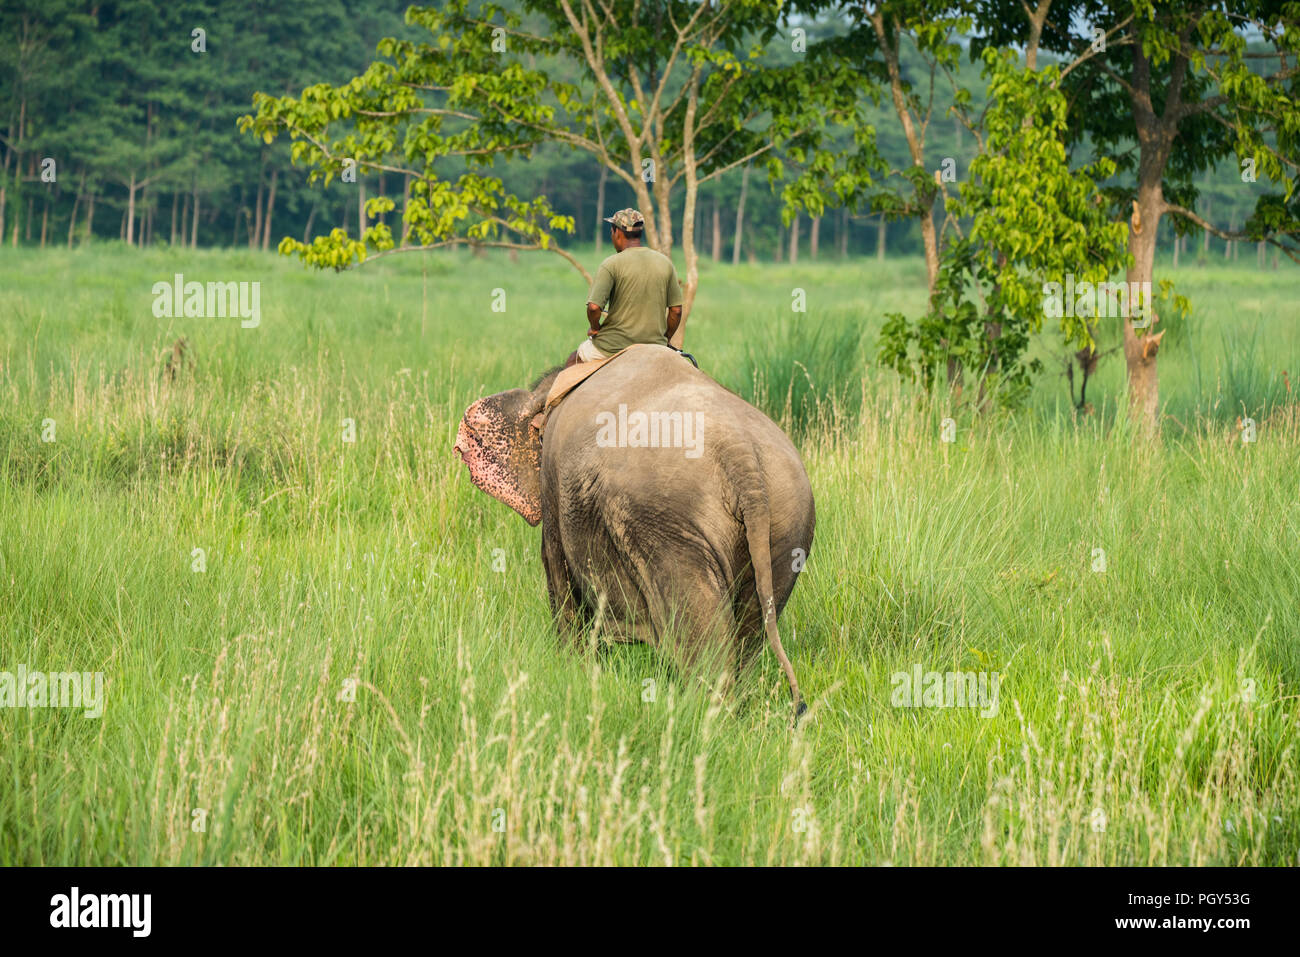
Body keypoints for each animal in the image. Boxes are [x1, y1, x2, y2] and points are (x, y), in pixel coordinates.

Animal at [453, 344, 814, 714]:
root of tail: (740, 453)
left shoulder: (553, 493)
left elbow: (557, 575)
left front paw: (572, 672)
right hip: (787, 526)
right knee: (751, 628)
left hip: (667, 523)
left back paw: (701, 714)